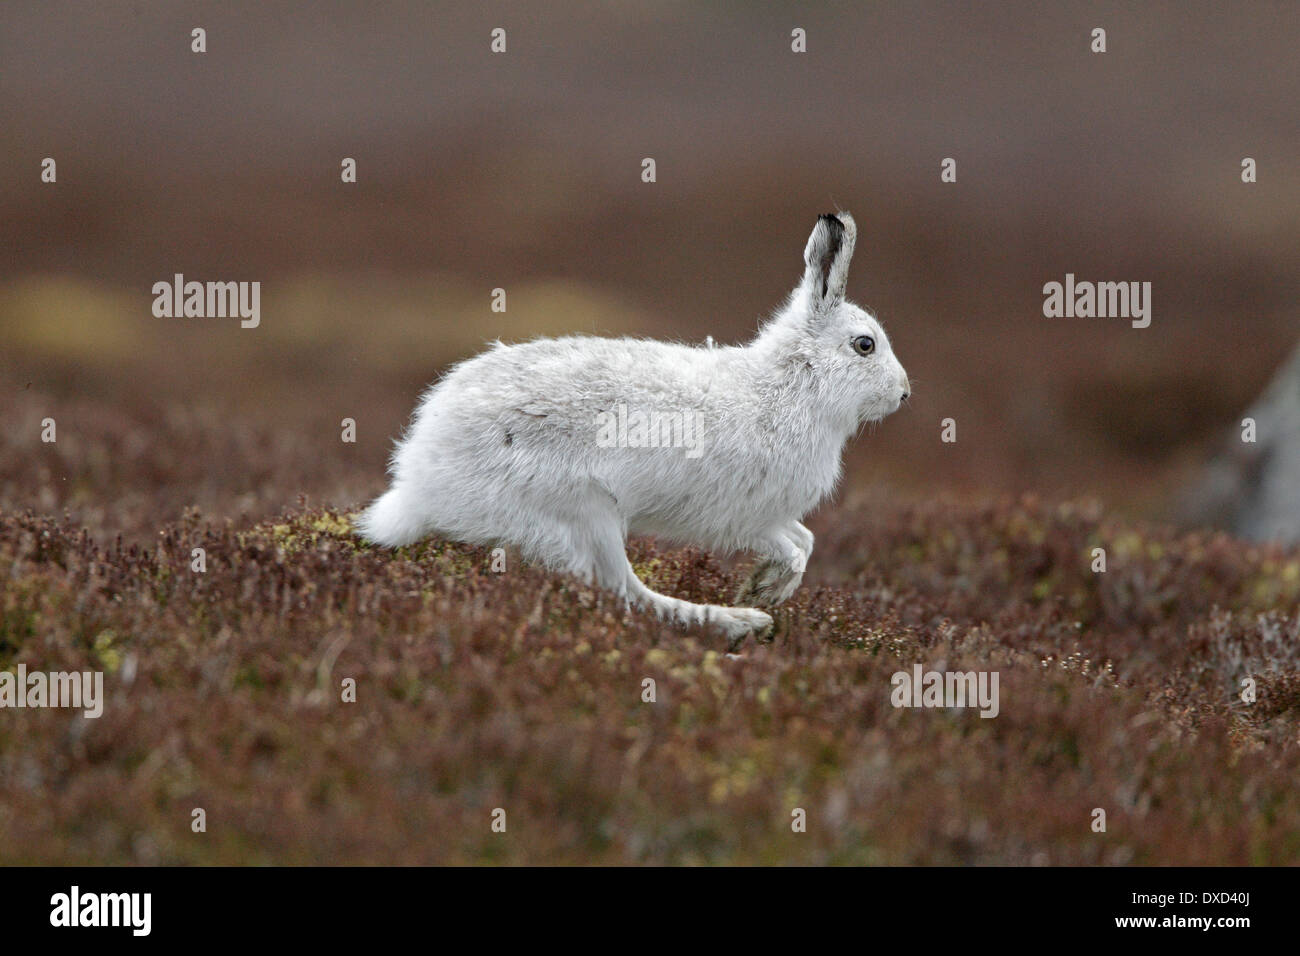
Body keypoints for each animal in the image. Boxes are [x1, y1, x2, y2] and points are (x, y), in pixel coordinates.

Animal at [357, 212, 909, 649]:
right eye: (864, 345)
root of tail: (419, 489)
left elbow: (807, 540)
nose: (904, 393)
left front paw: (764, 586)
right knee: (624, 592)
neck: (793, 386)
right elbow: (790, 548)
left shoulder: (777, 513)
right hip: (585, 514)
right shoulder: (742, 515)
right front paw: (765, 590)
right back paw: (737, 622)